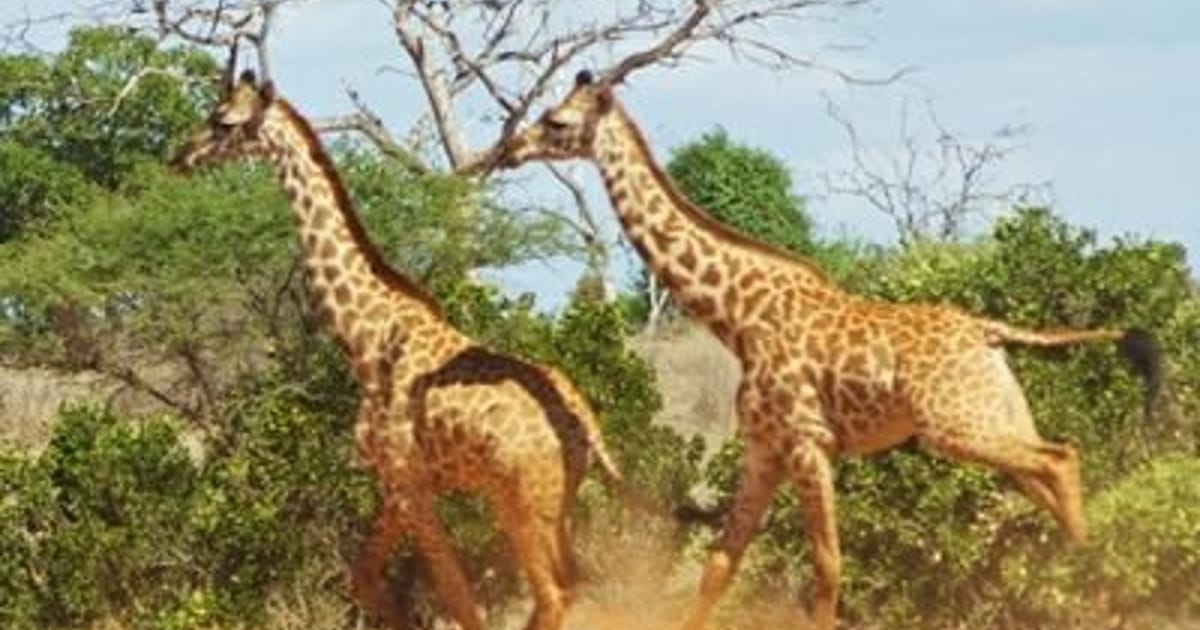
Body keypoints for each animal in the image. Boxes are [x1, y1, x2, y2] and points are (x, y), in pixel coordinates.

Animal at [173, 69, 642, 630]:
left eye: (223, 120)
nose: (180, 156)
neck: (363, 336)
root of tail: (585, 424)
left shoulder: (409, 484)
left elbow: (459, 599)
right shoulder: (396, 487)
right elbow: (365, 580)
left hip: (524, 502)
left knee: (552, 594)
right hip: (558, 501)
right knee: (570, 585)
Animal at [486, 70, 1162, 630]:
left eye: (557, 121)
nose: (507, 151)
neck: (737, 316)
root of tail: (989, 331)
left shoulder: (808, 442)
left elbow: (827, 566)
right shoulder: (764, 449)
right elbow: (720, 563)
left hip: (955, 426)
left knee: (1060, 460)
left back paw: (1094, 583)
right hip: (992, 413)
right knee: (1050, 469)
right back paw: (1090, 584)